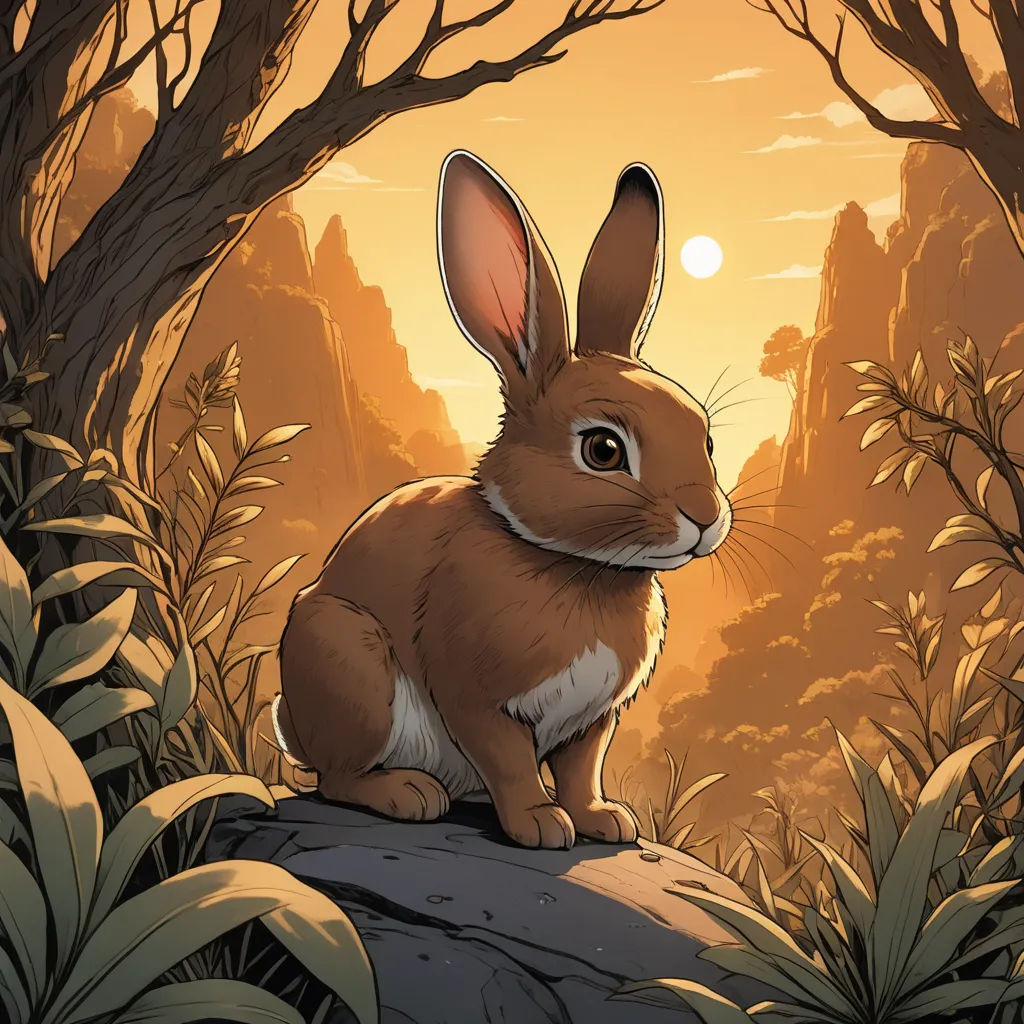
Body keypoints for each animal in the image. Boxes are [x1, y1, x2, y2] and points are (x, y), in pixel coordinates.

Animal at [272, 149, 731, 850]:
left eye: (704, 435)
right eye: (603, 450)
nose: (705, 519)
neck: (574, 568)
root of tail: (291, 725)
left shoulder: (593, 718)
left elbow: (581, 768)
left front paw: (603, 821)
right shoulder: (476, 696)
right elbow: (510, 762)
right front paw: (541, 826)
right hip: (350, 665)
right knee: (337, 778)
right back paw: (408, 795)